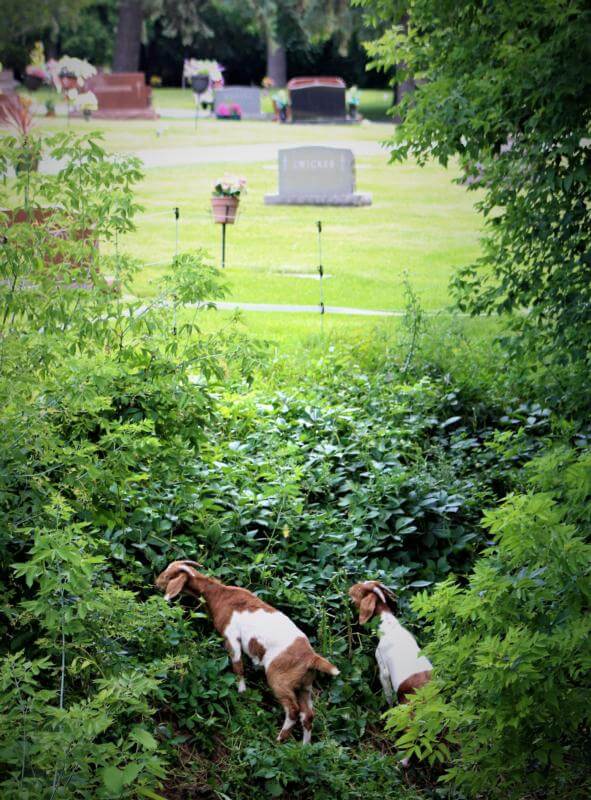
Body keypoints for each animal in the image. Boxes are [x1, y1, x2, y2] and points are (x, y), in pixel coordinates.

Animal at [156, 560, 340, 744]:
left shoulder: (231, 636)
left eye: (168, 576)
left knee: (293, 710)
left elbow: (237, 665)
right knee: (308, 715)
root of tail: (311, 657)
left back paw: (279, 739)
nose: (156, 582)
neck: (220, 594)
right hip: (305, 685)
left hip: (279, 679)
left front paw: (241, 691)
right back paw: (305, 746)